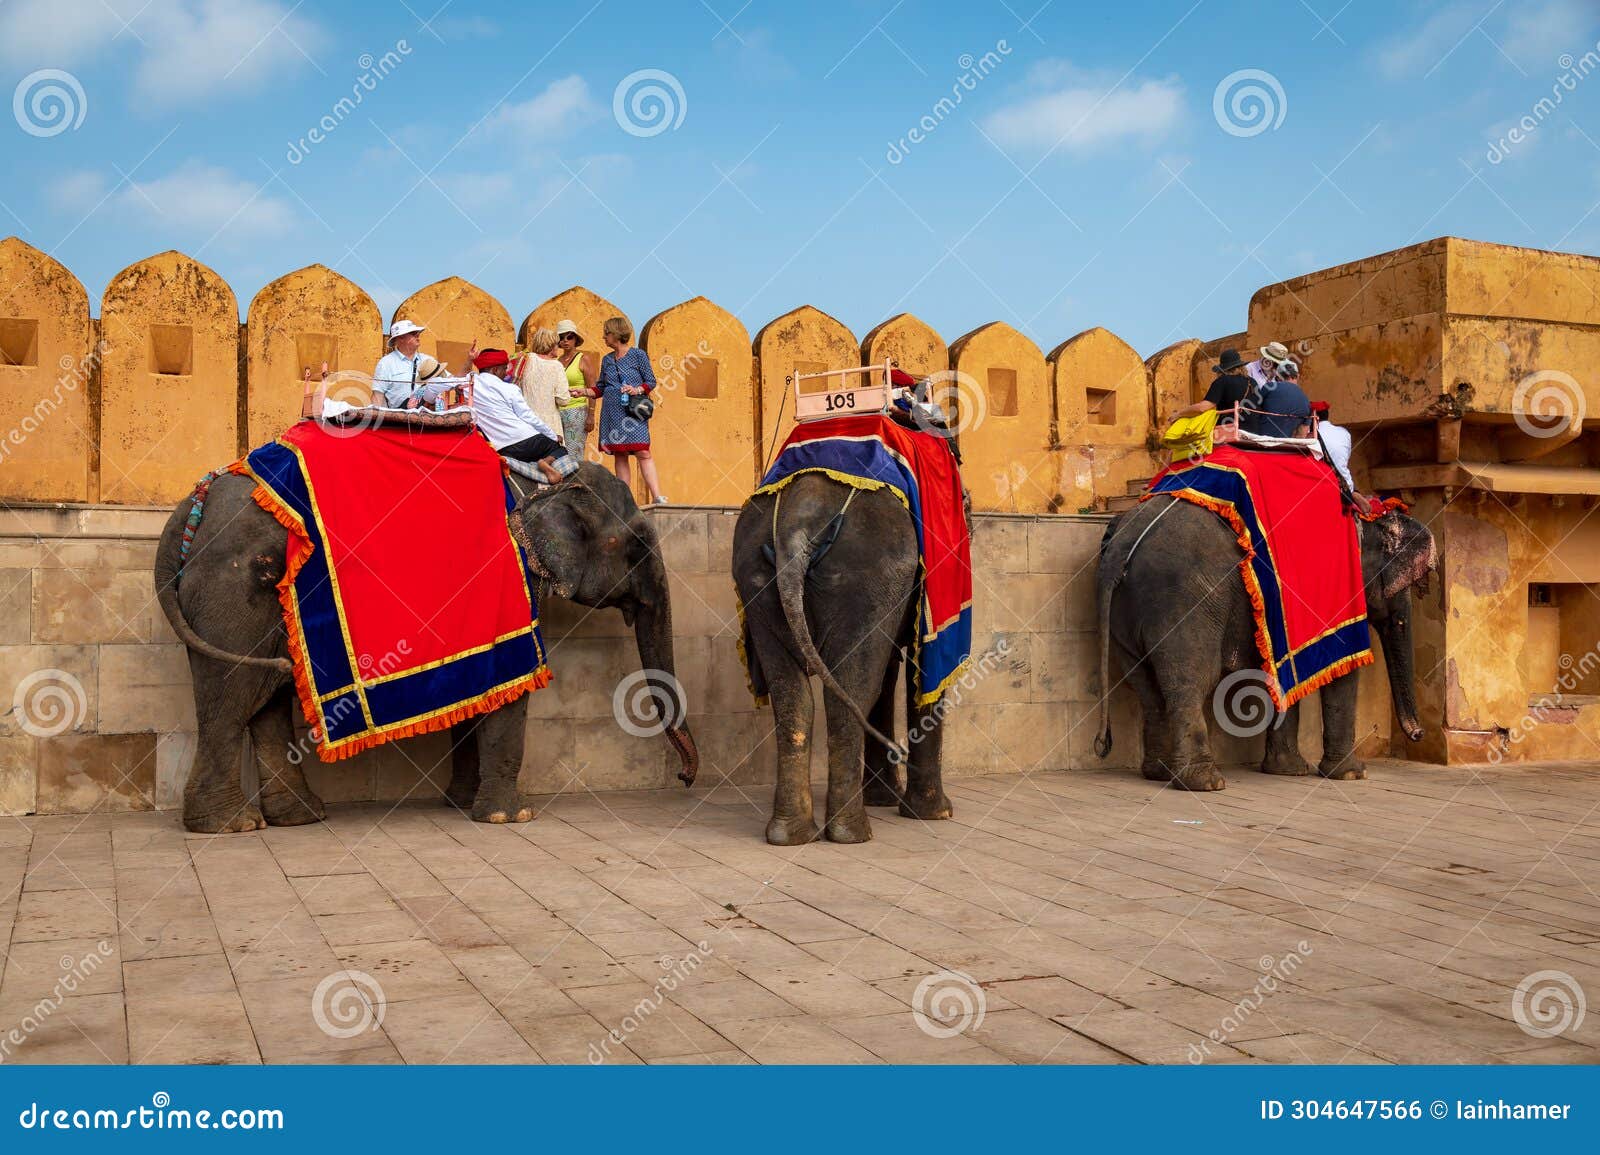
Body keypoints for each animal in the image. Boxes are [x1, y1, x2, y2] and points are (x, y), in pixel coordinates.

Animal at [153, 462, 698, 833]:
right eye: (638, 548)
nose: (685, 779)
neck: (543, 483)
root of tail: (189, 507)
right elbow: (511, 684)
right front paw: (511, 816)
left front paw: (460, 803)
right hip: (231, 593)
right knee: (232, 697)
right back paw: (231, 826)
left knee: (266, 698)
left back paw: (297, 817)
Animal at [732, 473, 955, 845]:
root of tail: (796, 524)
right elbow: (919, 664)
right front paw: (937, 814)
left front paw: (888, 801)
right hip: (864, 582)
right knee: (851, 692)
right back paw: (852, 833)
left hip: (757, 580)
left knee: (794, 698)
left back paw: (790, 834)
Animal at [1093, 498, 1437, 790]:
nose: (1419, 734)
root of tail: (1120, 548)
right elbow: (1342, 666)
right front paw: (1353, 775)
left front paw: (1288, 771)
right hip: (1183, 603)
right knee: (1191, 680)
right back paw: (1205, 783)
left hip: (1126, 613)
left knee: (1146, 686)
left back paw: (1160, 772)